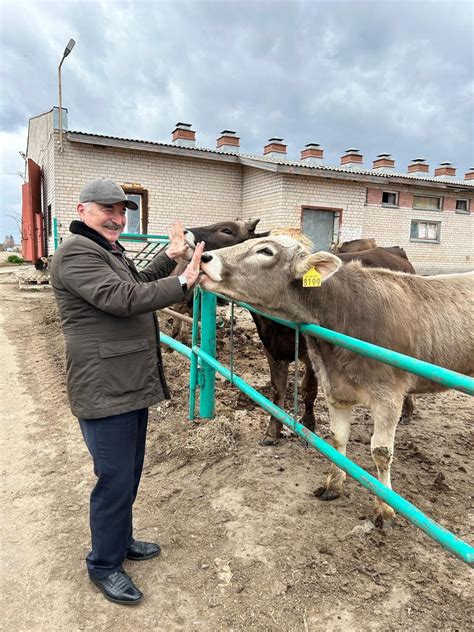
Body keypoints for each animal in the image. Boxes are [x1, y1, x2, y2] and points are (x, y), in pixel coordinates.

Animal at [198, 236, 472, 524]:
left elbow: (381, 452)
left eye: (266, 251)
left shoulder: (388, 397)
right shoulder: (334, 388)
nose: (204, 258)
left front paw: (384, 508)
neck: (345, 310)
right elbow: (338, 438)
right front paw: (333, 484)